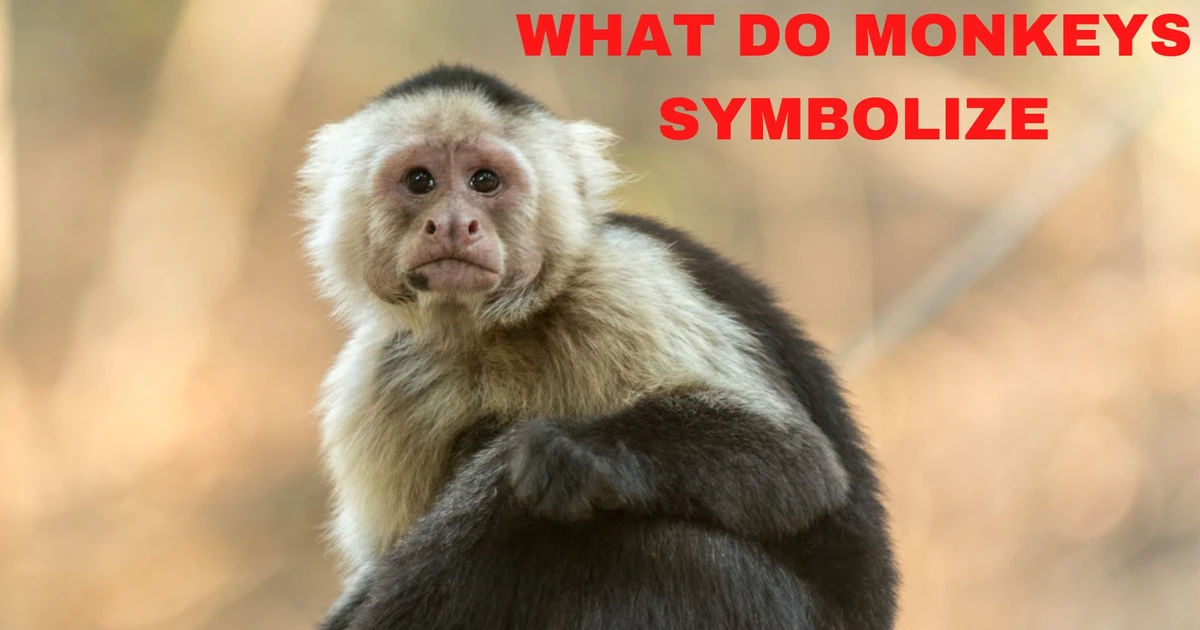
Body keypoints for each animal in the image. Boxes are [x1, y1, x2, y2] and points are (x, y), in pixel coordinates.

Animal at [299, 64, 898, 630]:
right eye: (419, 181)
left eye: (485, 180)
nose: (451, 224)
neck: (490, 330)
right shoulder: (379, 374)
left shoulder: (620, 281)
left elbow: (798, 462)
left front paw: (576, 453)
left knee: (668, 551)